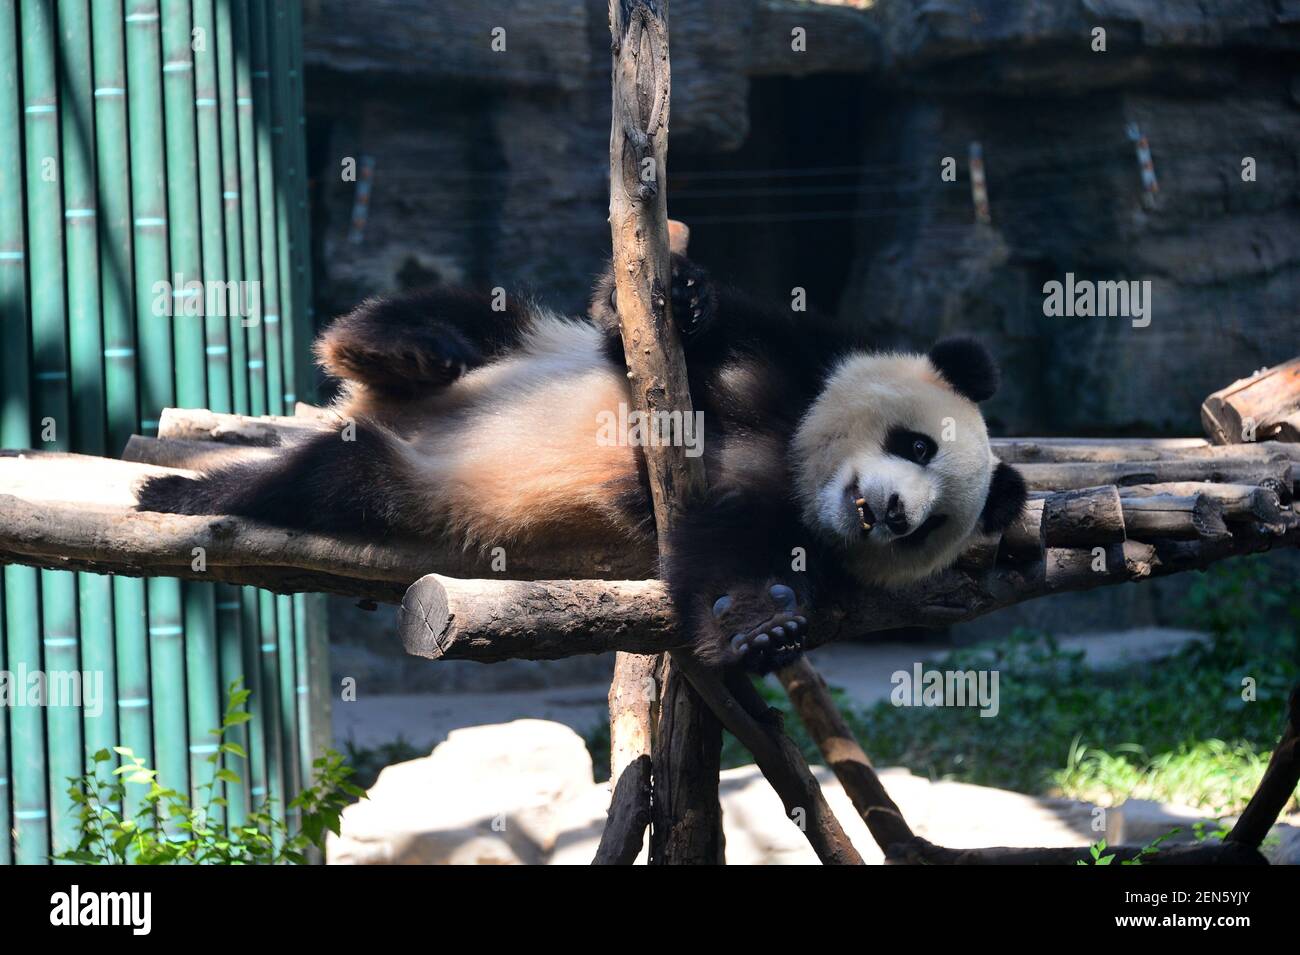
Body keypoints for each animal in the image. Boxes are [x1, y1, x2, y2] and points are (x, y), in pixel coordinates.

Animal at [137, 255, 1028, 674]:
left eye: (934, 528)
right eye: (917, 444)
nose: (895, 511)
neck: (794, 458)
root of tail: (370, 411)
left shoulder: (775, 520)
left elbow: (721, 547)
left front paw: (766, 623)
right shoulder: (794, 356)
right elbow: (641, 329)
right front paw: (688, 297)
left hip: (408, 481)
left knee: (331, 477)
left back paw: (195, 487)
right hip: (520, 342)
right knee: (456, 316)